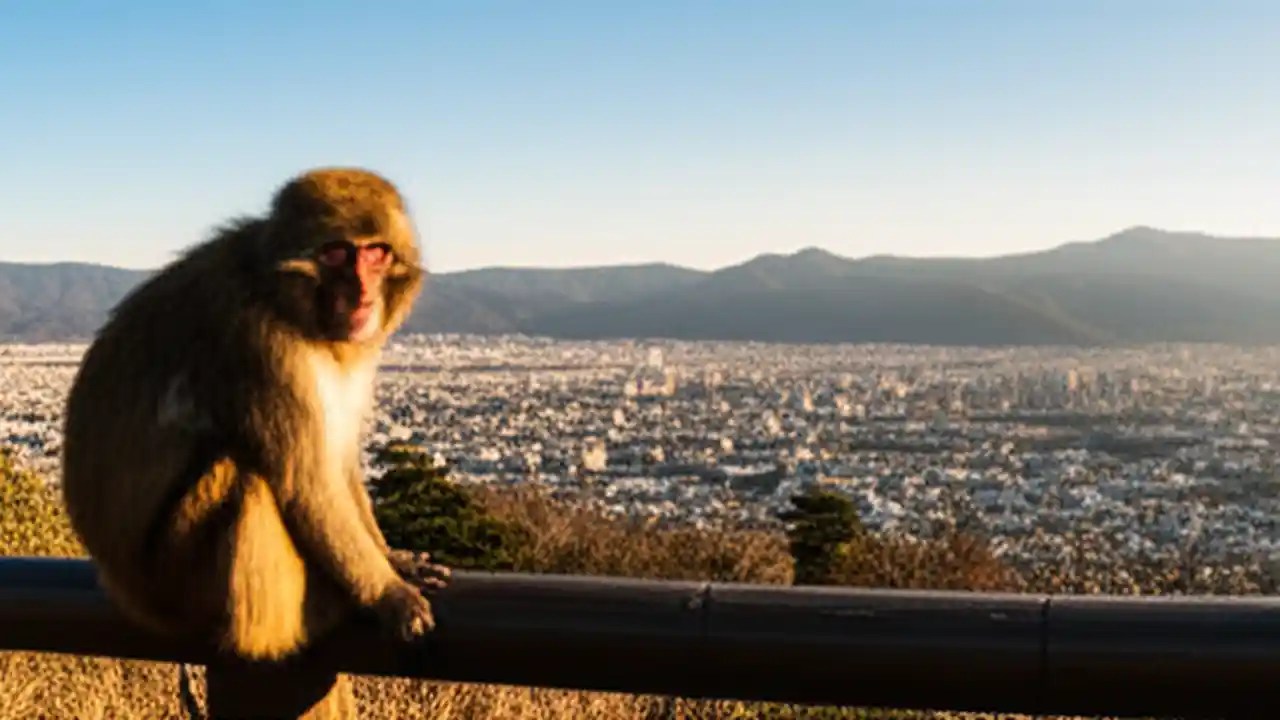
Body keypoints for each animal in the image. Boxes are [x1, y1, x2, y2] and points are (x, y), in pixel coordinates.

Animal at [59, 167, 449, 663]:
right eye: (337, 253)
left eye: (376, 254)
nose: (361, 292)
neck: (278, 293)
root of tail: (124, 589)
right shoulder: (259, 344)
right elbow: (307, 482)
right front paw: (387, 594)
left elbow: (336, 460)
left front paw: (394, 559)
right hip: (178, 582)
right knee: (245, 476)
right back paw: (288, 626)